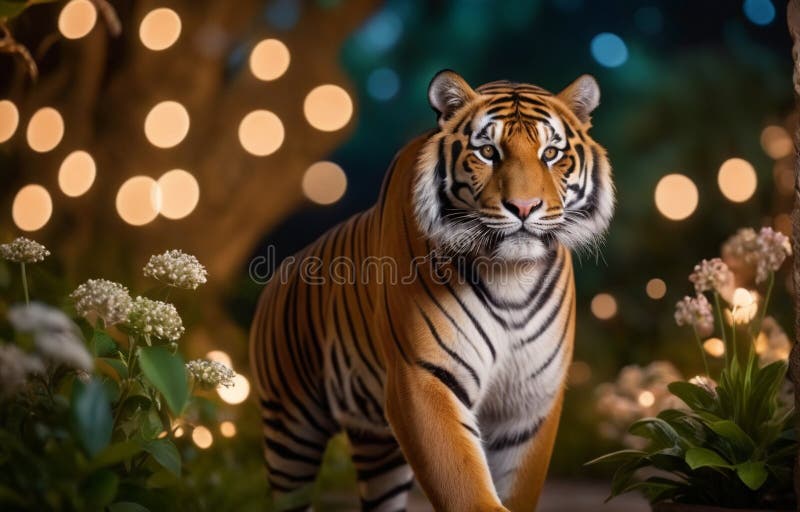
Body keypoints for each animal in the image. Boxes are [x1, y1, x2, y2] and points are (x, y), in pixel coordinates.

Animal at [249, 70, 614, 512]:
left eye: (550, 154)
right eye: (488, 152)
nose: (525, 207)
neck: (511, 275)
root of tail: (279, 272)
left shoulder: (530, 402)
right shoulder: (424, 378)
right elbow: (464, 485)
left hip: (377, 446)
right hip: (290, 428)